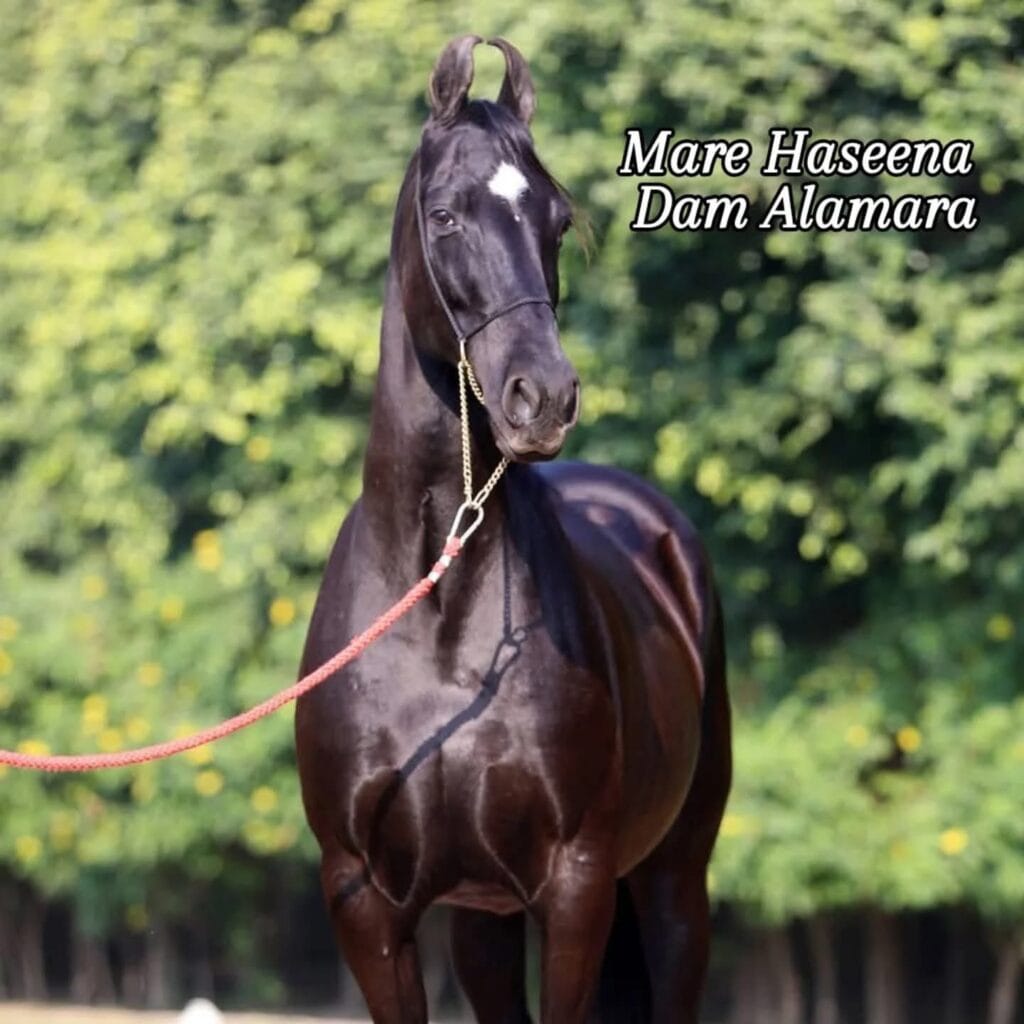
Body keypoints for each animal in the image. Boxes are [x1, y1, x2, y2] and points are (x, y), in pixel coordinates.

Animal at [294, 35, 731, 1024]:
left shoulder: (574, 886)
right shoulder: (365, 903)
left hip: (673, 886)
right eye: (446, 214)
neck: (439, 608)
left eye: (558, 222)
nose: (545, 396)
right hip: (482, 921)